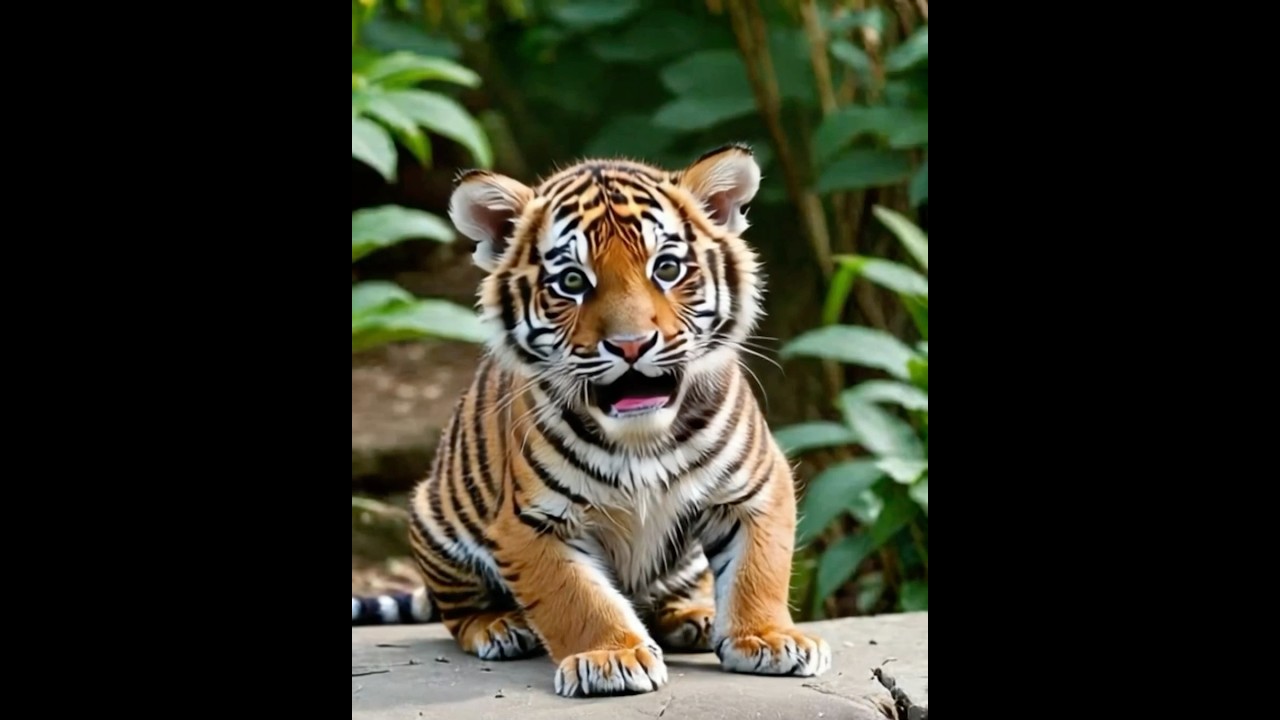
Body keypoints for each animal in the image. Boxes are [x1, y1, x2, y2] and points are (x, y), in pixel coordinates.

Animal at [350, 144, 832, 697]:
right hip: (435, 519)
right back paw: (498, 627)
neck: (643, 437)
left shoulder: (756, 488)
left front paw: (770, 638)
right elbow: (577, 597)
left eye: (667, 268)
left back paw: (695, 616)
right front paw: (612, 657)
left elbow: (759, 570)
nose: (631, 345)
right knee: (460, 612)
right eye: (573, 282)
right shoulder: (532, 523)